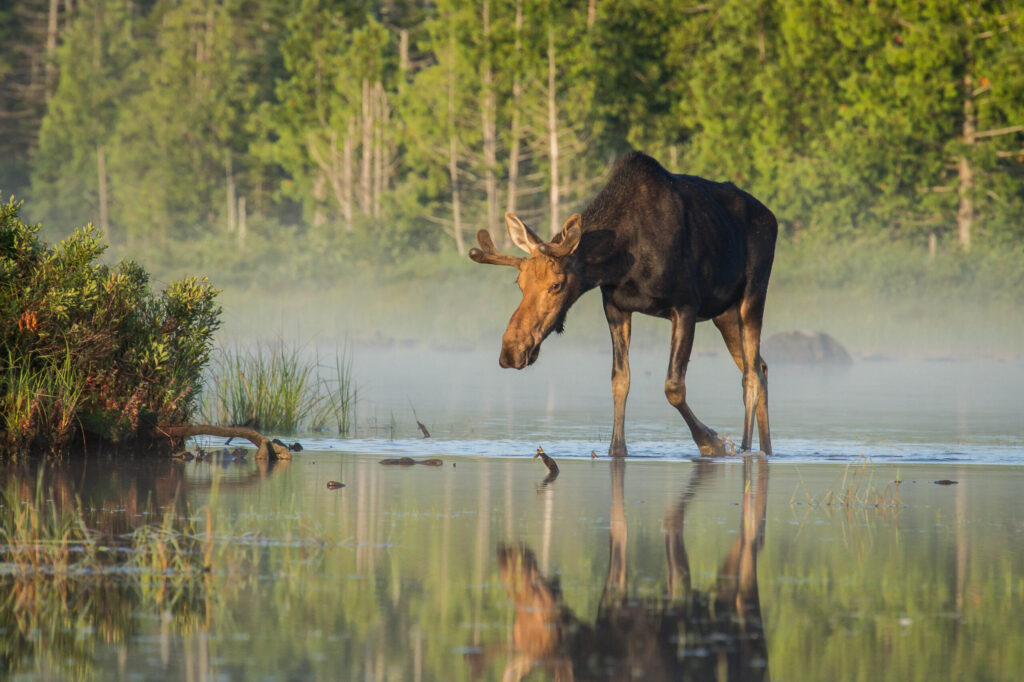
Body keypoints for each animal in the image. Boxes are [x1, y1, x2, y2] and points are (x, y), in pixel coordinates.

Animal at [469, 152, 777, 457]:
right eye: (519, 284)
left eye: (556, 285)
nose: (511, 351)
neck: (618, 260)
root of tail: (772, 218)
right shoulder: (616, 307)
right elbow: (620, 380)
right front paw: (617, 448)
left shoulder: (685, 305)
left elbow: (674, 386)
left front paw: (711, 441)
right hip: (724, 314)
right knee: (760, 367)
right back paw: (766, 449)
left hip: (753, 293)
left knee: (751, 374)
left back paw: (746, 448)